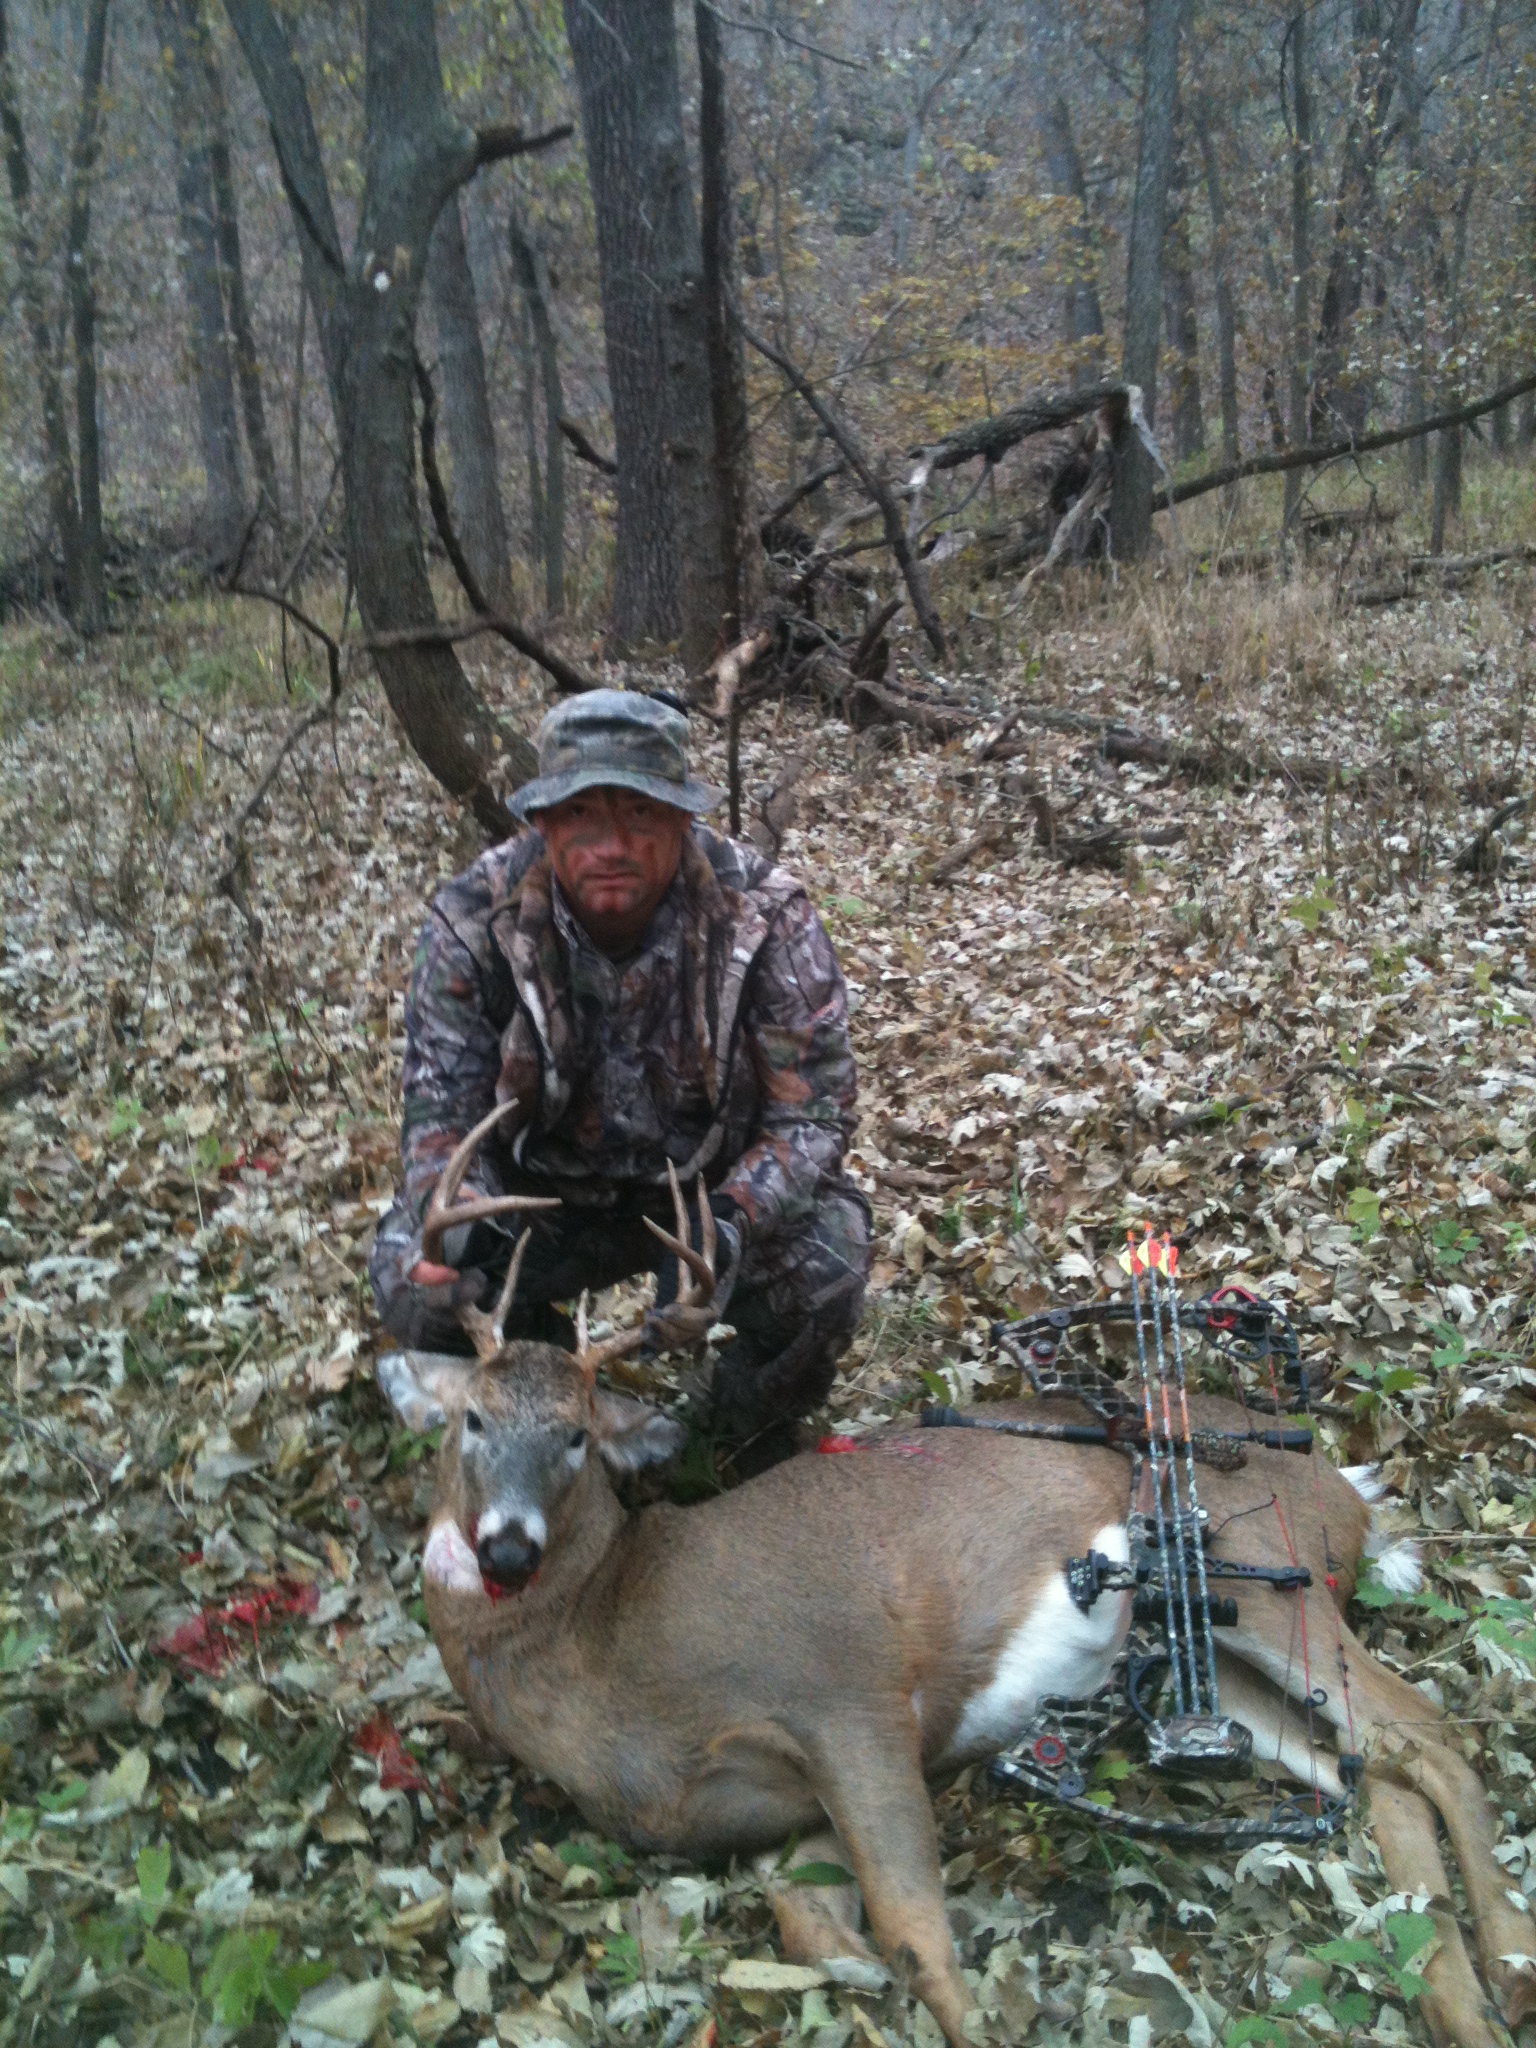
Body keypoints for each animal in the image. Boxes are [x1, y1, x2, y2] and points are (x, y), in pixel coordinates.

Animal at [374, 1109, 1536, 2048]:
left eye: (575, 1434)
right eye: (471, 1419)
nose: (507, 1548)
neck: (613, 1643)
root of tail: (1349, 1486)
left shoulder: (849, 1692)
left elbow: (919, 1933)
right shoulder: (785, 1807)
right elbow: (815, 1918)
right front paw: (849, 1980)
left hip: (1268, 1584)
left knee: (1426, 1731)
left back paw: (1511, 1968)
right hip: (1226, 1667)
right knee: (1373, 1776)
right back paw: (1455, 2002)